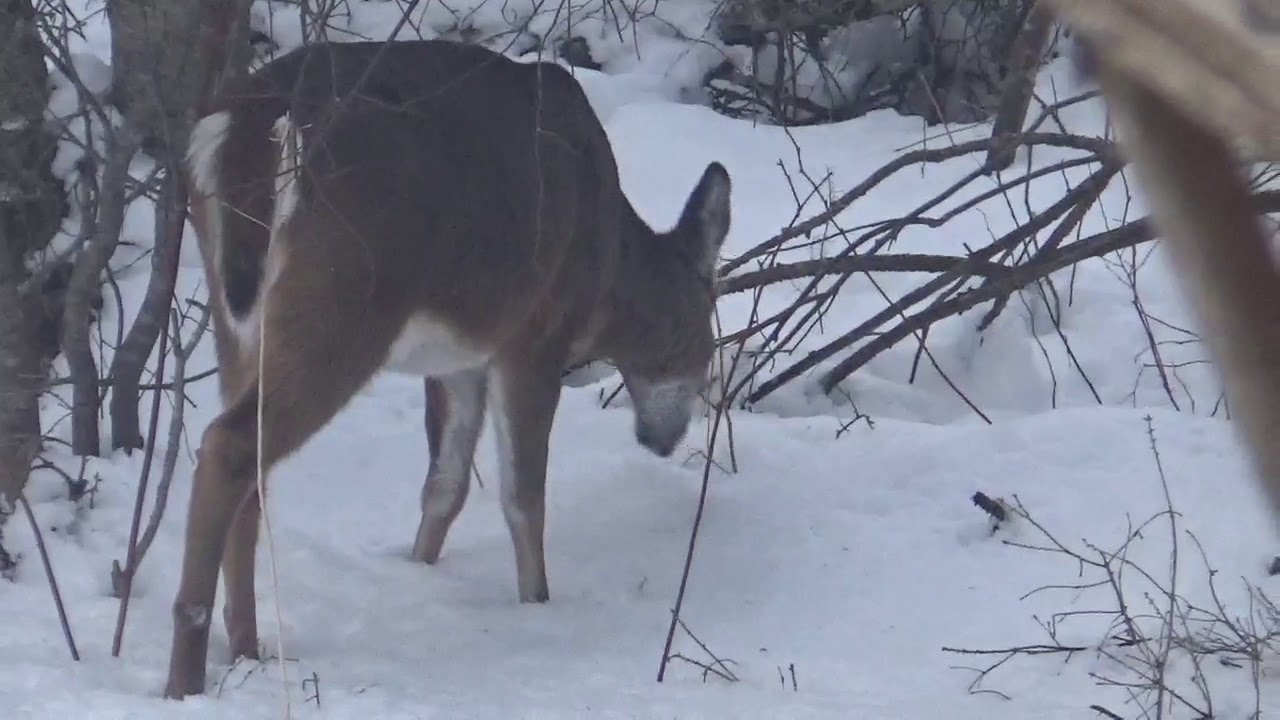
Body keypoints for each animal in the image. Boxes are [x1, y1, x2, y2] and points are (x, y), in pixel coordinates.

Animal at [165, 38, 731, 699]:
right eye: (706, 338)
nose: (661, 439)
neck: (610, 262)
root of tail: (244, 127)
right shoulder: (536, 333)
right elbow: (523, 494)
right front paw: (537, 604)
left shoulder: (460, 358)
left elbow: (446, 484)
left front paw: (420, 567)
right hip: (349, 293)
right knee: (228, 446)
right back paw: (185, 675)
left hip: (237, 320)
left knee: (251, 462)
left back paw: (247, 650)